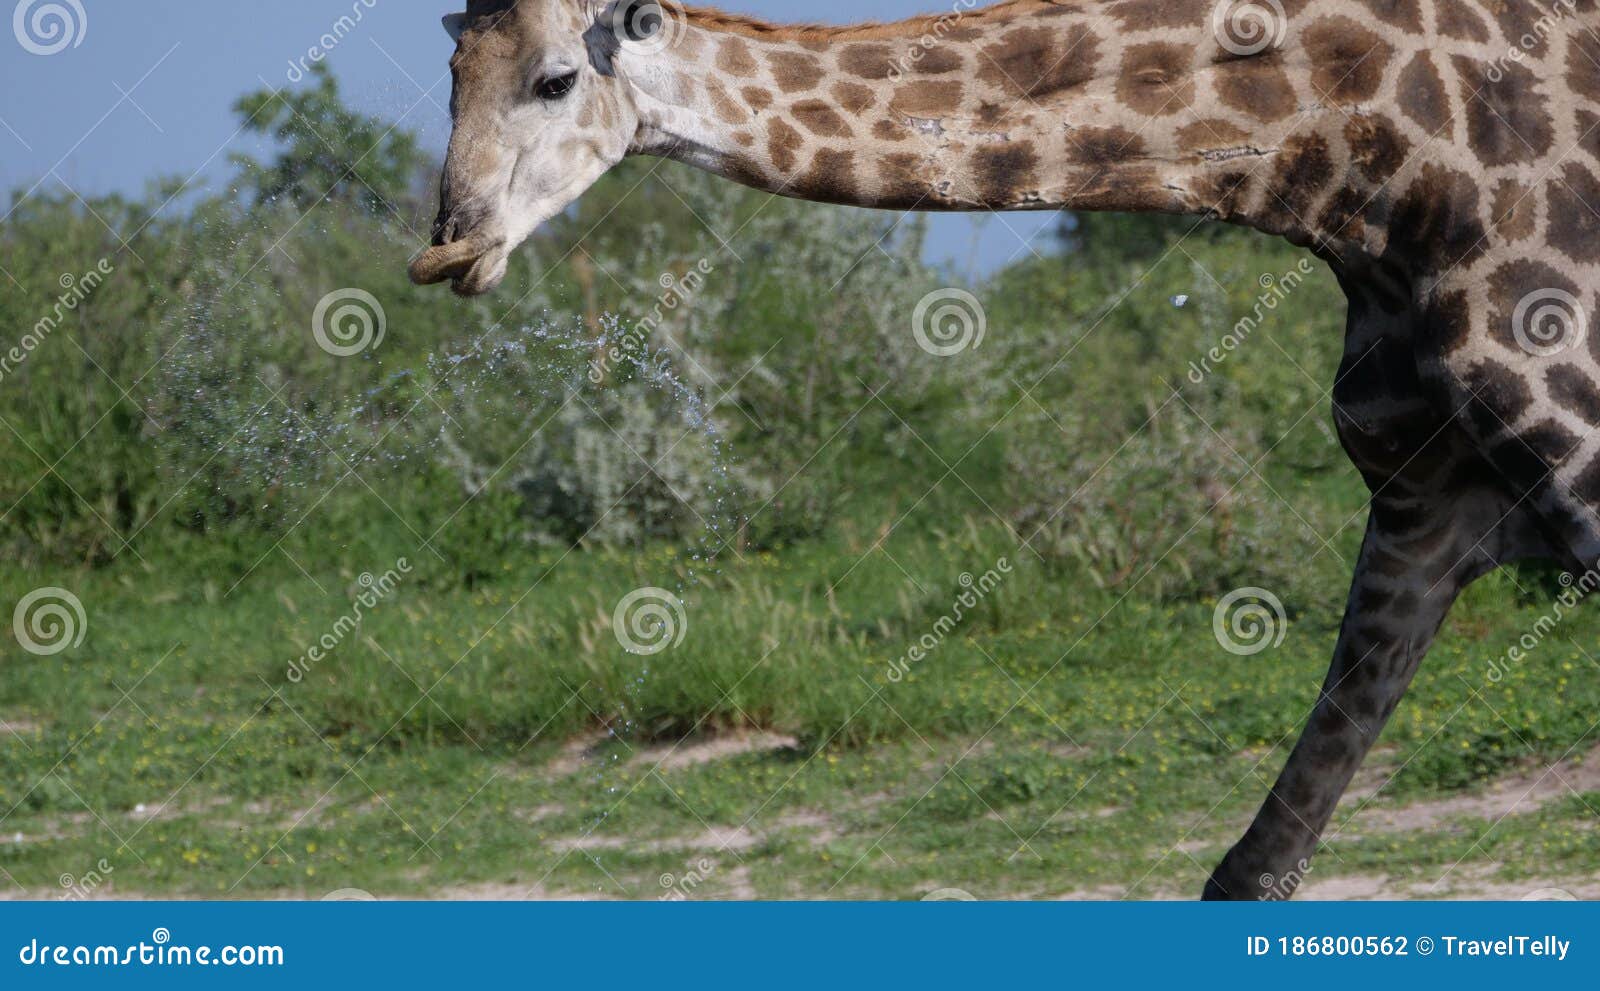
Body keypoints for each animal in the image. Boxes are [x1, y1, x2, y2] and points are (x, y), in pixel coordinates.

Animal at [409, 0, 1600, 899]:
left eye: (556, 79)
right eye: (453, 72)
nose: (450, 245)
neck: (1367, 171)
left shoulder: (1577, 452)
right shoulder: (1421, 501)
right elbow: (1253, 866)